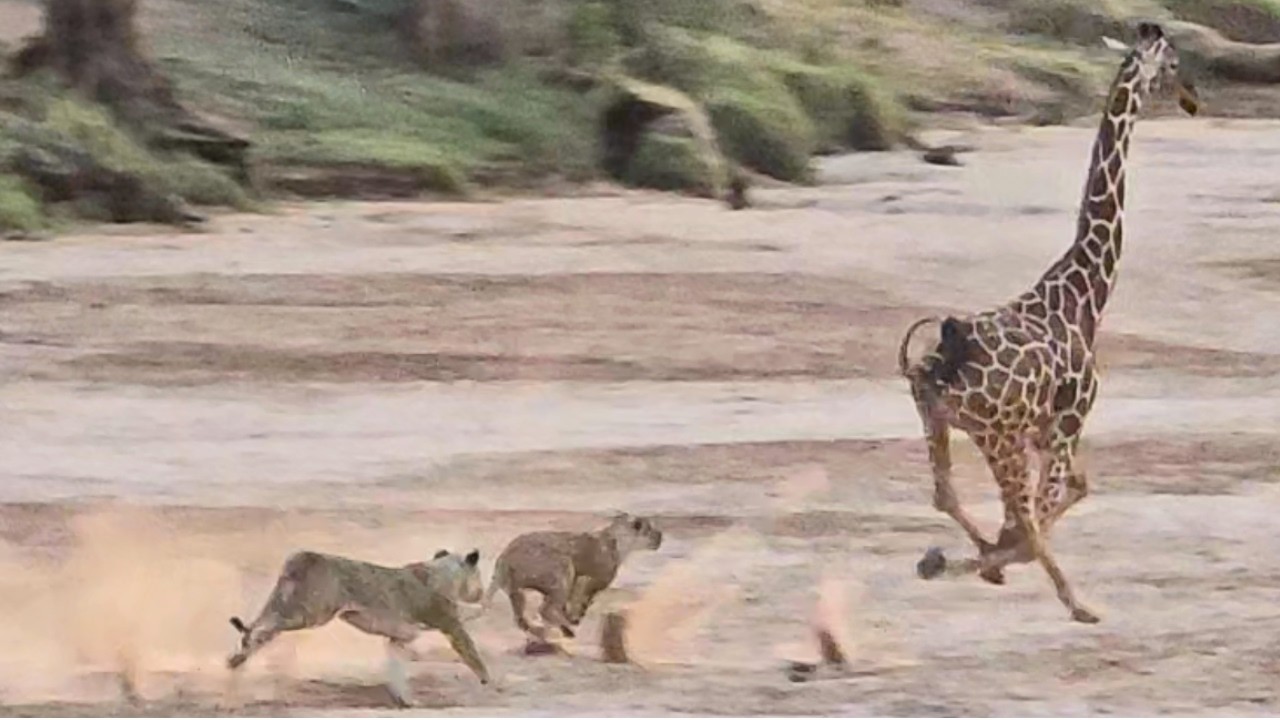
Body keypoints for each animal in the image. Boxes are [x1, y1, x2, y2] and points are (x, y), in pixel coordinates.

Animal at [896, 22, 1200, 624]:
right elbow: (1047, 506)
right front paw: (985, 561)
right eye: (1173, 64)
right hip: (998, 436)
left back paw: (966, 559)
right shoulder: (1067, 422)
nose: (1191, 98)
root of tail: (938, 361)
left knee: (947, 494)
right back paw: (1078, 603)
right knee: (1023, 512)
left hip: (940, 420)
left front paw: (976, 558)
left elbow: (1074, 491)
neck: (1086, 295)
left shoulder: (1046, 431)